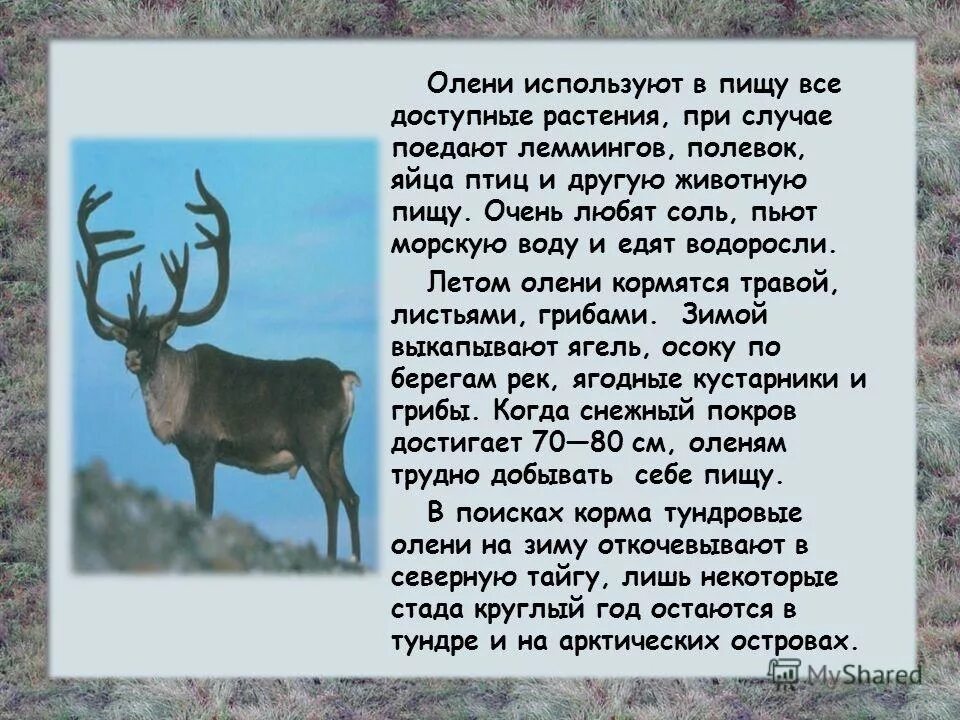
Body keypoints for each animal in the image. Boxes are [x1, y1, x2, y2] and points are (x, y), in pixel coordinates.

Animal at [75, 170, 362, 563]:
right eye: (126, 338)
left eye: (153, 337)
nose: (131, 356)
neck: (174, 404)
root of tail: (344, 379)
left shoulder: (204, 451)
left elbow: (204, 511)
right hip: (337, 446)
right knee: (352, 496)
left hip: (313, 446)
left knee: (332, 496)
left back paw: (332, 557)